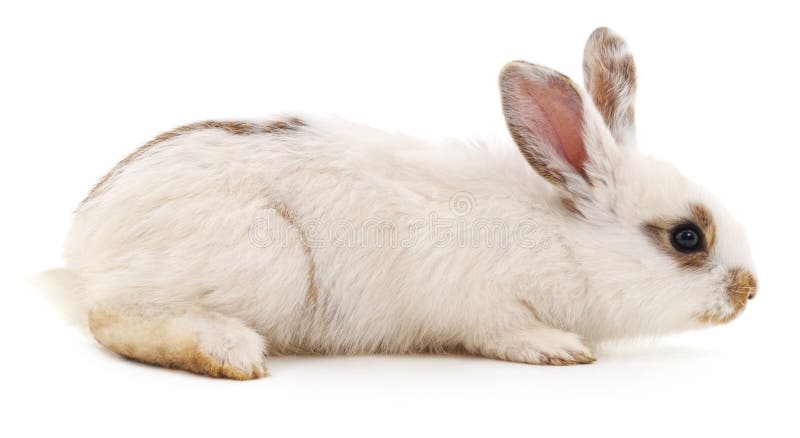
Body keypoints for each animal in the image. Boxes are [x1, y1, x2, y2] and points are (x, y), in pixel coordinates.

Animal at [60, 27, 757, 379]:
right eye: (687, 237)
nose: (750, 290)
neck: (566, 238)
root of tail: (85, 246)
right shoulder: (481, 299)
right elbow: (503, 331)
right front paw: (556, 349)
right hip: (267, 261)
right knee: (111, 318)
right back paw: (229, 352)